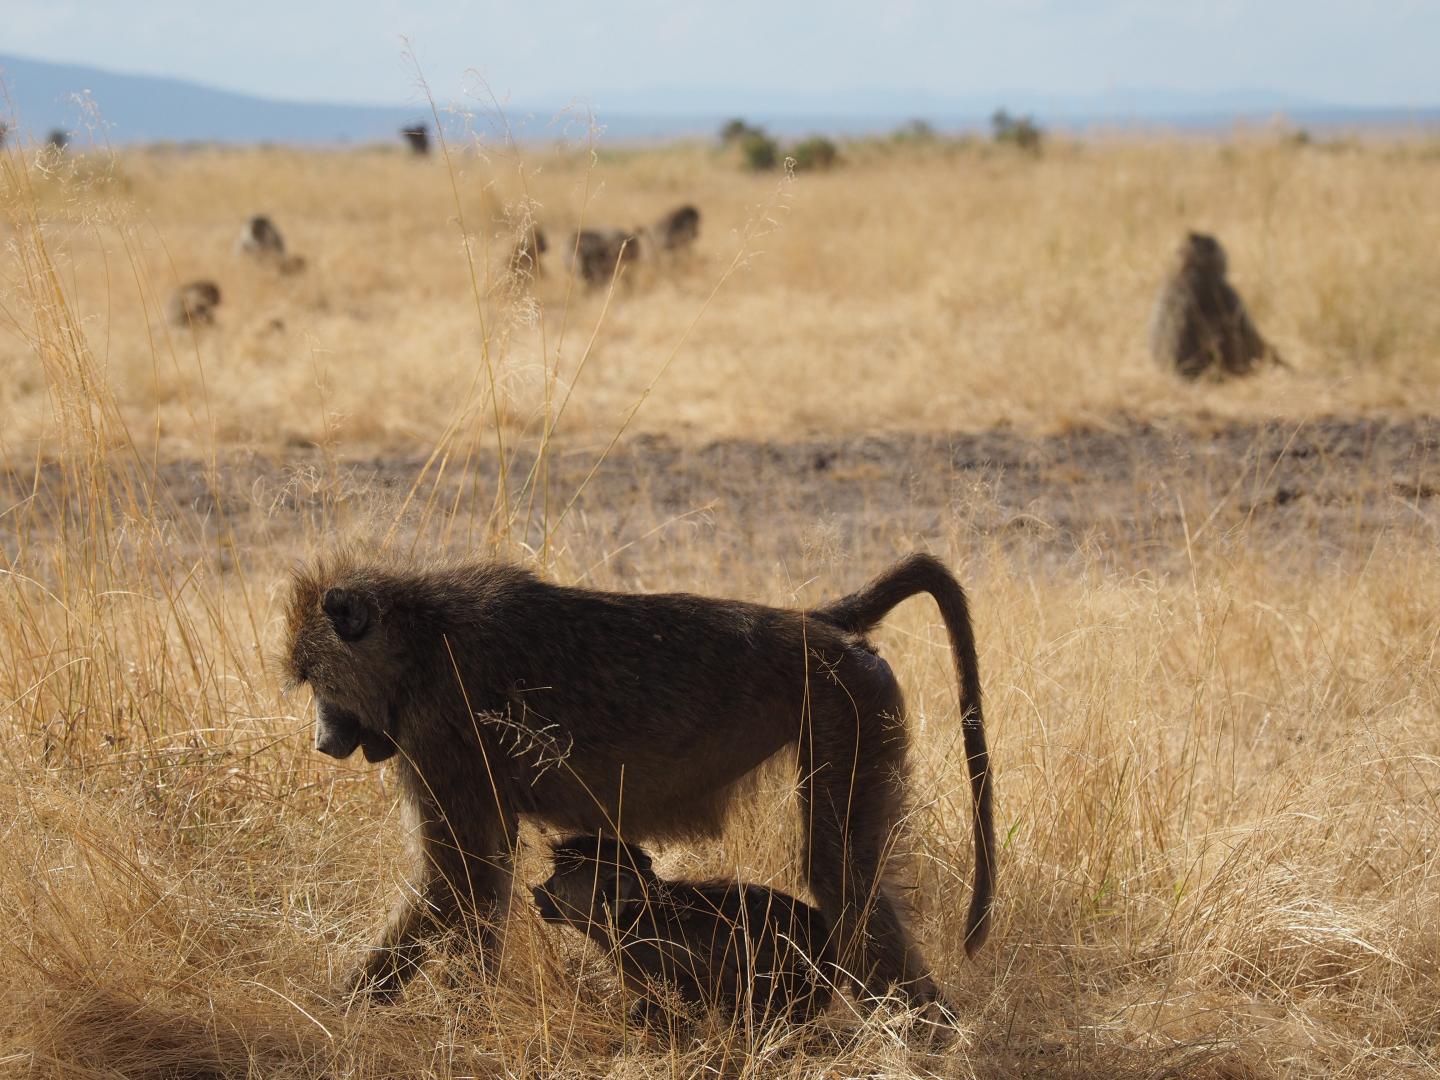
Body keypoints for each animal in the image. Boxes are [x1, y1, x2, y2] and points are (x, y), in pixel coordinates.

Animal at [283, 551, 994, 1011]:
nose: (323, 742)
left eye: (317, 680)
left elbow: (460, 881)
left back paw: (921, 1034)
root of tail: (814, 624)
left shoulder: (438, 729)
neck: (419, 636)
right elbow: (481, 886)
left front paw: (352, 1010)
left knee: (840, 873)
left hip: (848, 704)